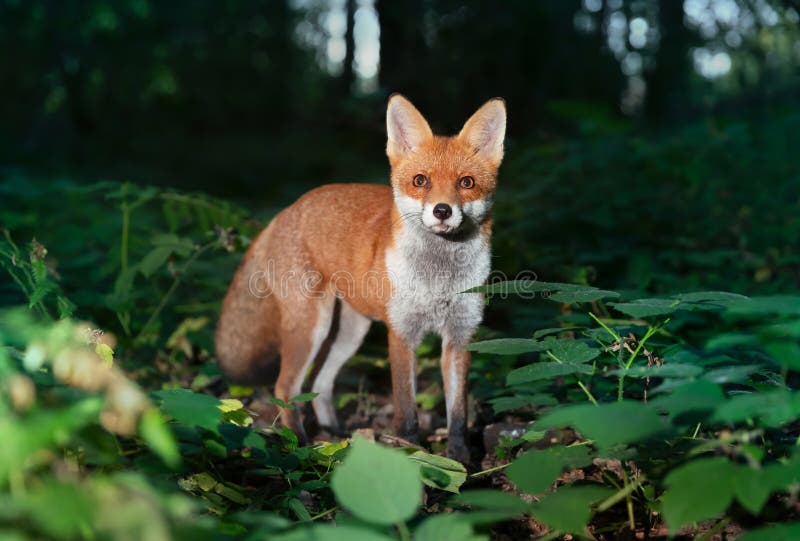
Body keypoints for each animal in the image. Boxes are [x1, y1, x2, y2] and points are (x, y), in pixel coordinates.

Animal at [215, 94, 506, 462]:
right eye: (421, 181)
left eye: (466, 183)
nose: (442, 210)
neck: (438, 278)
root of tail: (287, 210)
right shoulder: (402, 333)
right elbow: (406, 411)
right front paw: (410, 453)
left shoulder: (461, 334)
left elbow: (457, 412)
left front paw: (459, 459)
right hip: (311, 327)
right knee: (286, 387)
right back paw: (299, 443)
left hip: (349, 332)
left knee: (319, 383)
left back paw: (333, 435)